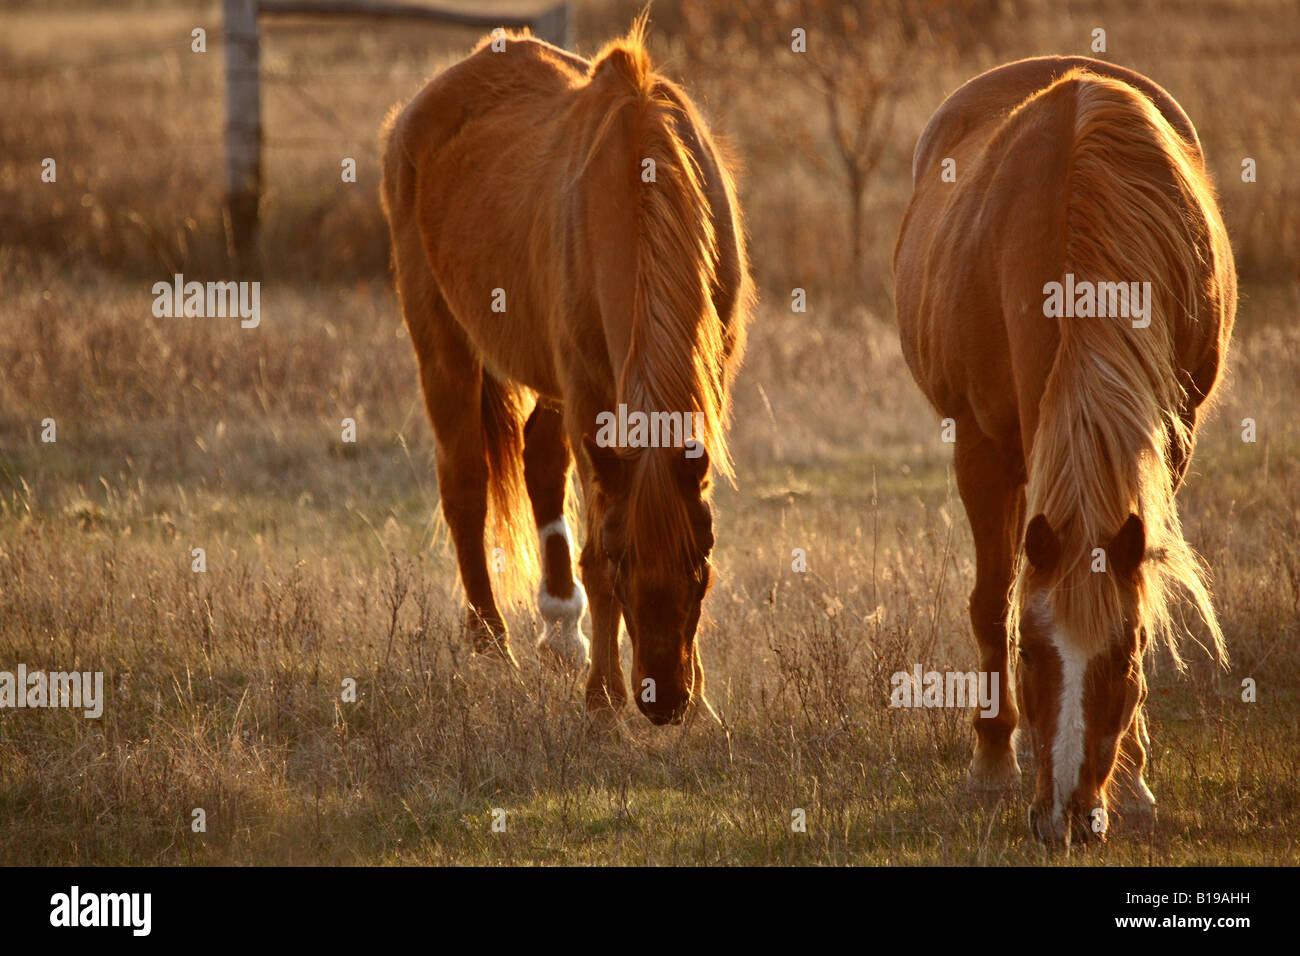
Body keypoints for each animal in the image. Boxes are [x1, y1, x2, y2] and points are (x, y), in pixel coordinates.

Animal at [379, 18, 752, 726]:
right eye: (625, 560)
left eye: (701, 560)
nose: (664, 700)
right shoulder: (589, 393)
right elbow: (590, 542)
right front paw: (603, 701)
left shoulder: (699, 374)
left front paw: (704, 704)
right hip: (442, 341)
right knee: (465, 482)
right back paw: (491, 645)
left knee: (539, 461)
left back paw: (559, 629)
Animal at [894, 57, 1236, 844]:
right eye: (1032, 654)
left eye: (1128, 654)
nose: (1067, 819)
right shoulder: (982, 448)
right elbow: (992, 601)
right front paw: (990, 765)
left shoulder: (1170, 437)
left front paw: (1134, 780)